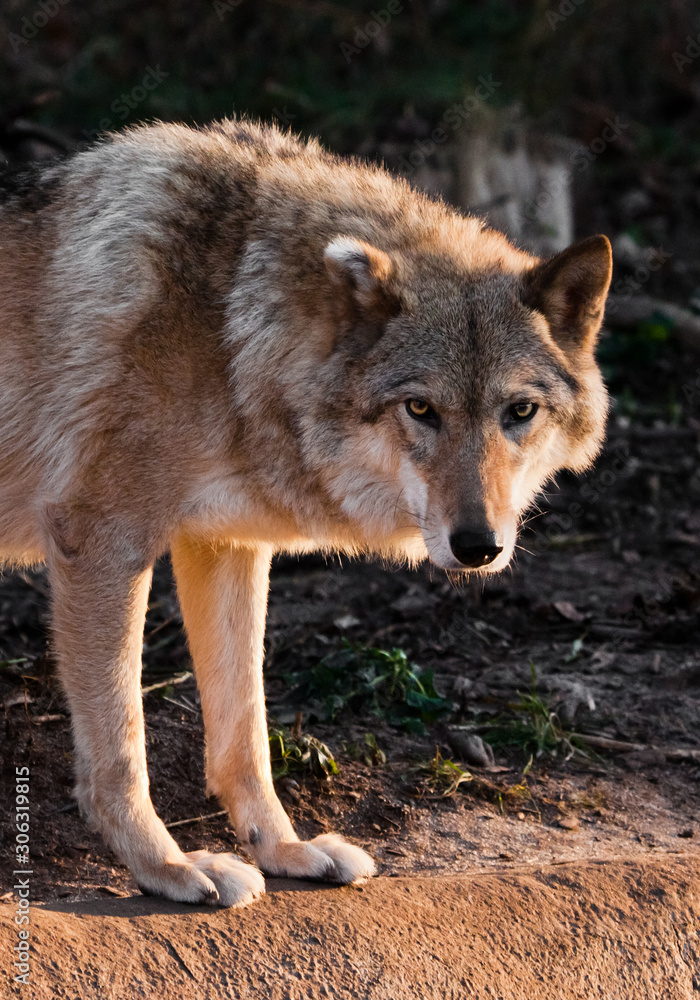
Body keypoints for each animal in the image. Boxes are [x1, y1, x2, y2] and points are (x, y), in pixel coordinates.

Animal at [0, 120, 612, 906]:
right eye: (421, 409)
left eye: (520, 412)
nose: (478, 545)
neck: (232, 323)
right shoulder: (101, 540)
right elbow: (121, 747)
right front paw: (169, 869)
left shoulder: (225, 546)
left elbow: (245, 735)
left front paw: (284, 850)